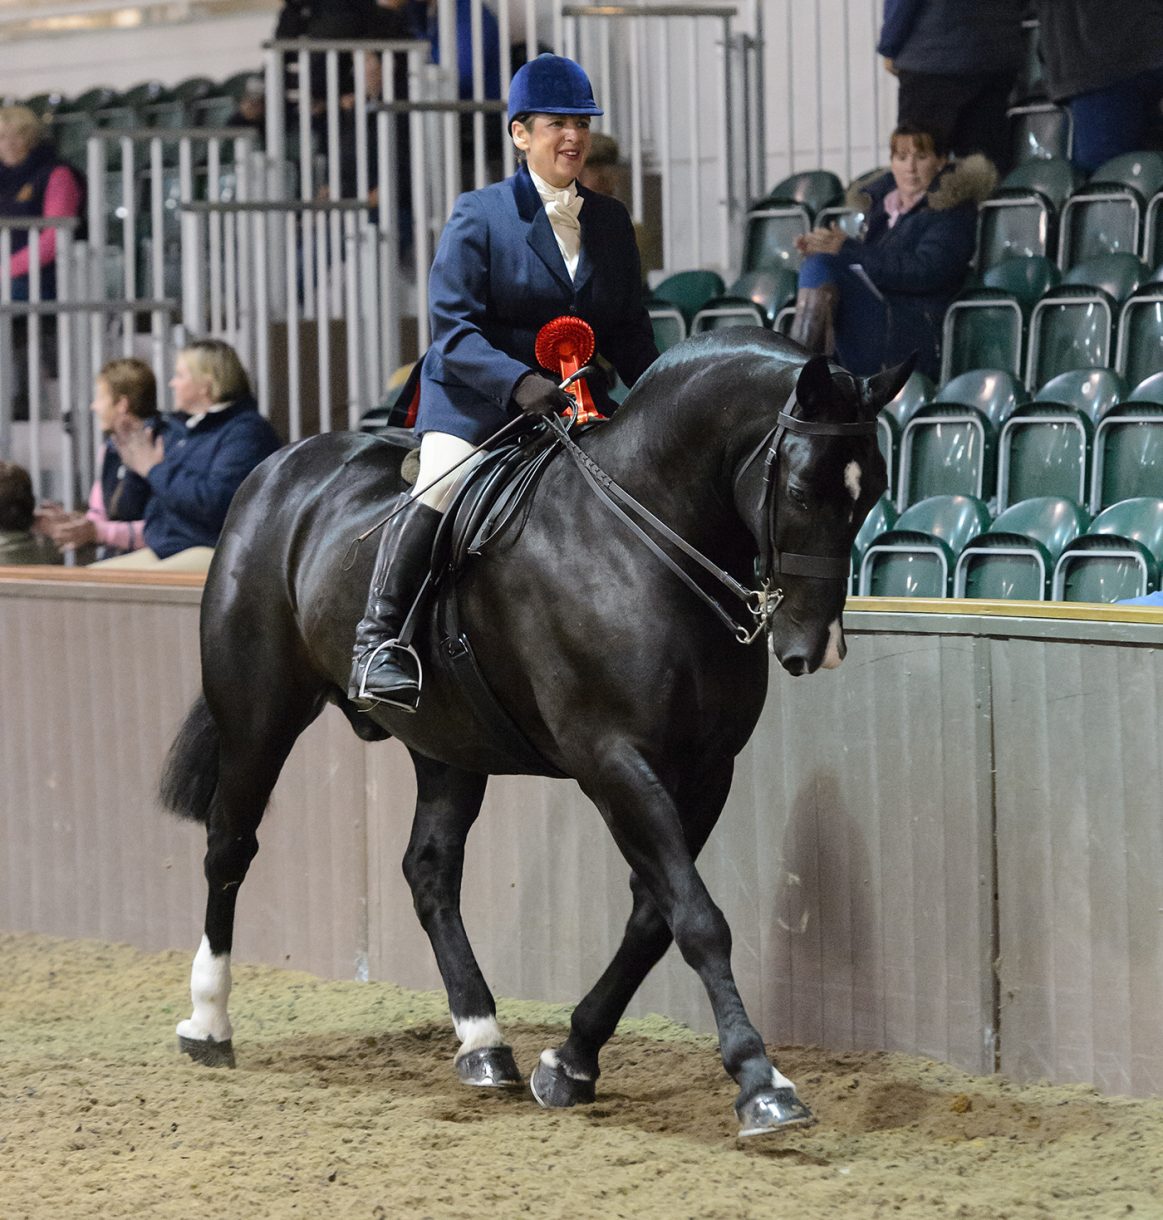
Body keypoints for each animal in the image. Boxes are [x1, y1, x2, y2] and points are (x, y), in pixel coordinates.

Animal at [159, 328, 908, 1138]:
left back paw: (483, 1042)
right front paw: (760, 1080)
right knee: (230, 846)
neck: (641, 541)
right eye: (801, 491)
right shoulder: (612, 759)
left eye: (872, 492)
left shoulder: (707, 770)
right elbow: (698, 918)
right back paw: (208, 1022)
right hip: (259, 713)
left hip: (447, 746)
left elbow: (655, 917)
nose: (816, 647)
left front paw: (570, 1062)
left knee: (429, 872)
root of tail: (278, 467)